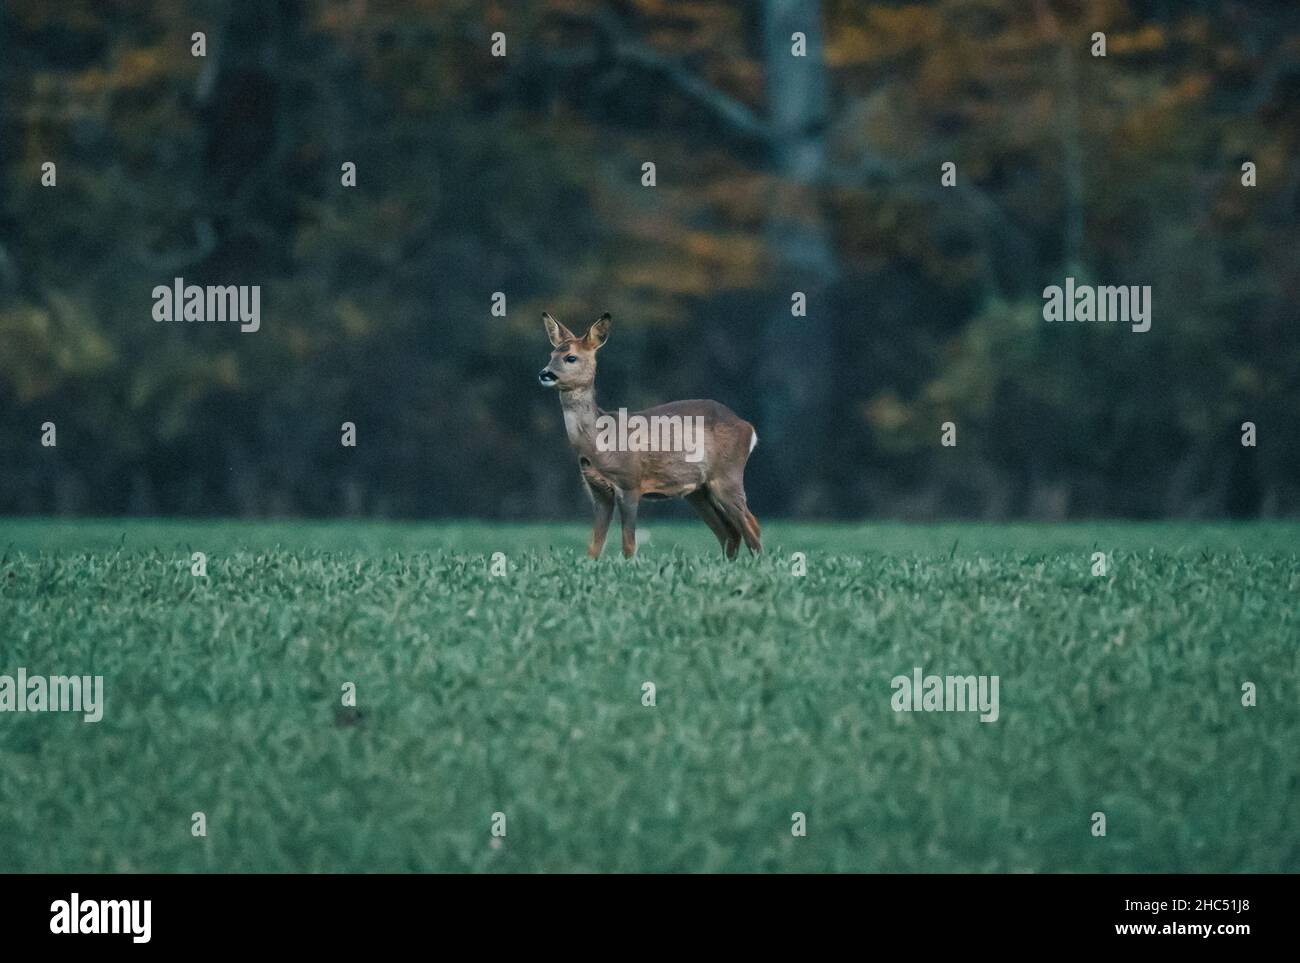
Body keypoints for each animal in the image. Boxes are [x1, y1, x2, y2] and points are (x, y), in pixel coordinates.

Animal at [538, 311, 761, 560]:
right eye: (551, 354)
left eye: (571, 357)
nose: (545, 374)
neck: (600, 439)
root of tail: (748, 427)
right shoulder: (597, 490)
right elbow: (594, 546)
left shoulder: (629, 483)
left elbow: (629, 544)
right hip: (698, 491)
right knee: (730, 532)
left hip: (727, 475)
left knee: (752, 527)